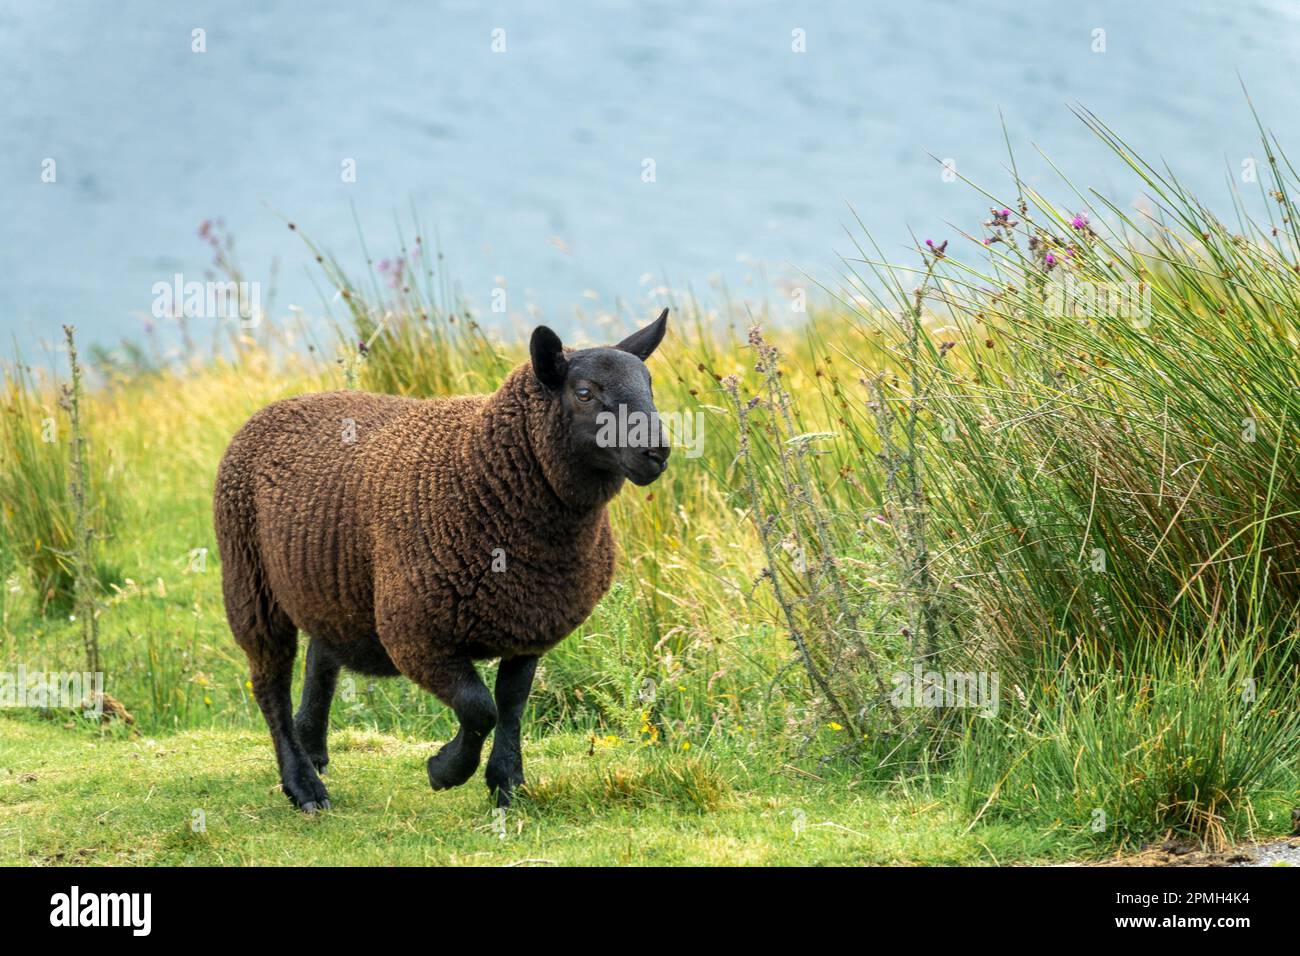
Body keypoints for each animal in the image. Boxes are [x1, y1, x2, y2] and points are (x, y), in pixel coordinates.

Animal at [213, 309, 671, 811]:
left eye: (650, 383)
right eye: (584, 393)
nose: (656, 452)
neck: (485, 474)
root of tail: (283, 403)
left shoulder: (529, 624)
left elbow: (511, 704)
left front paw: (507, 785)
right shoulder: (416, 636)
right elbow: (479, 707)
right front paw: (446, 770)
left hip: (331, 587)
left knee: (321, 659)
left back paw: (313, 749)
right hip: (250, 582)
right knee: (269, 684)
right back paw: (303, 786)